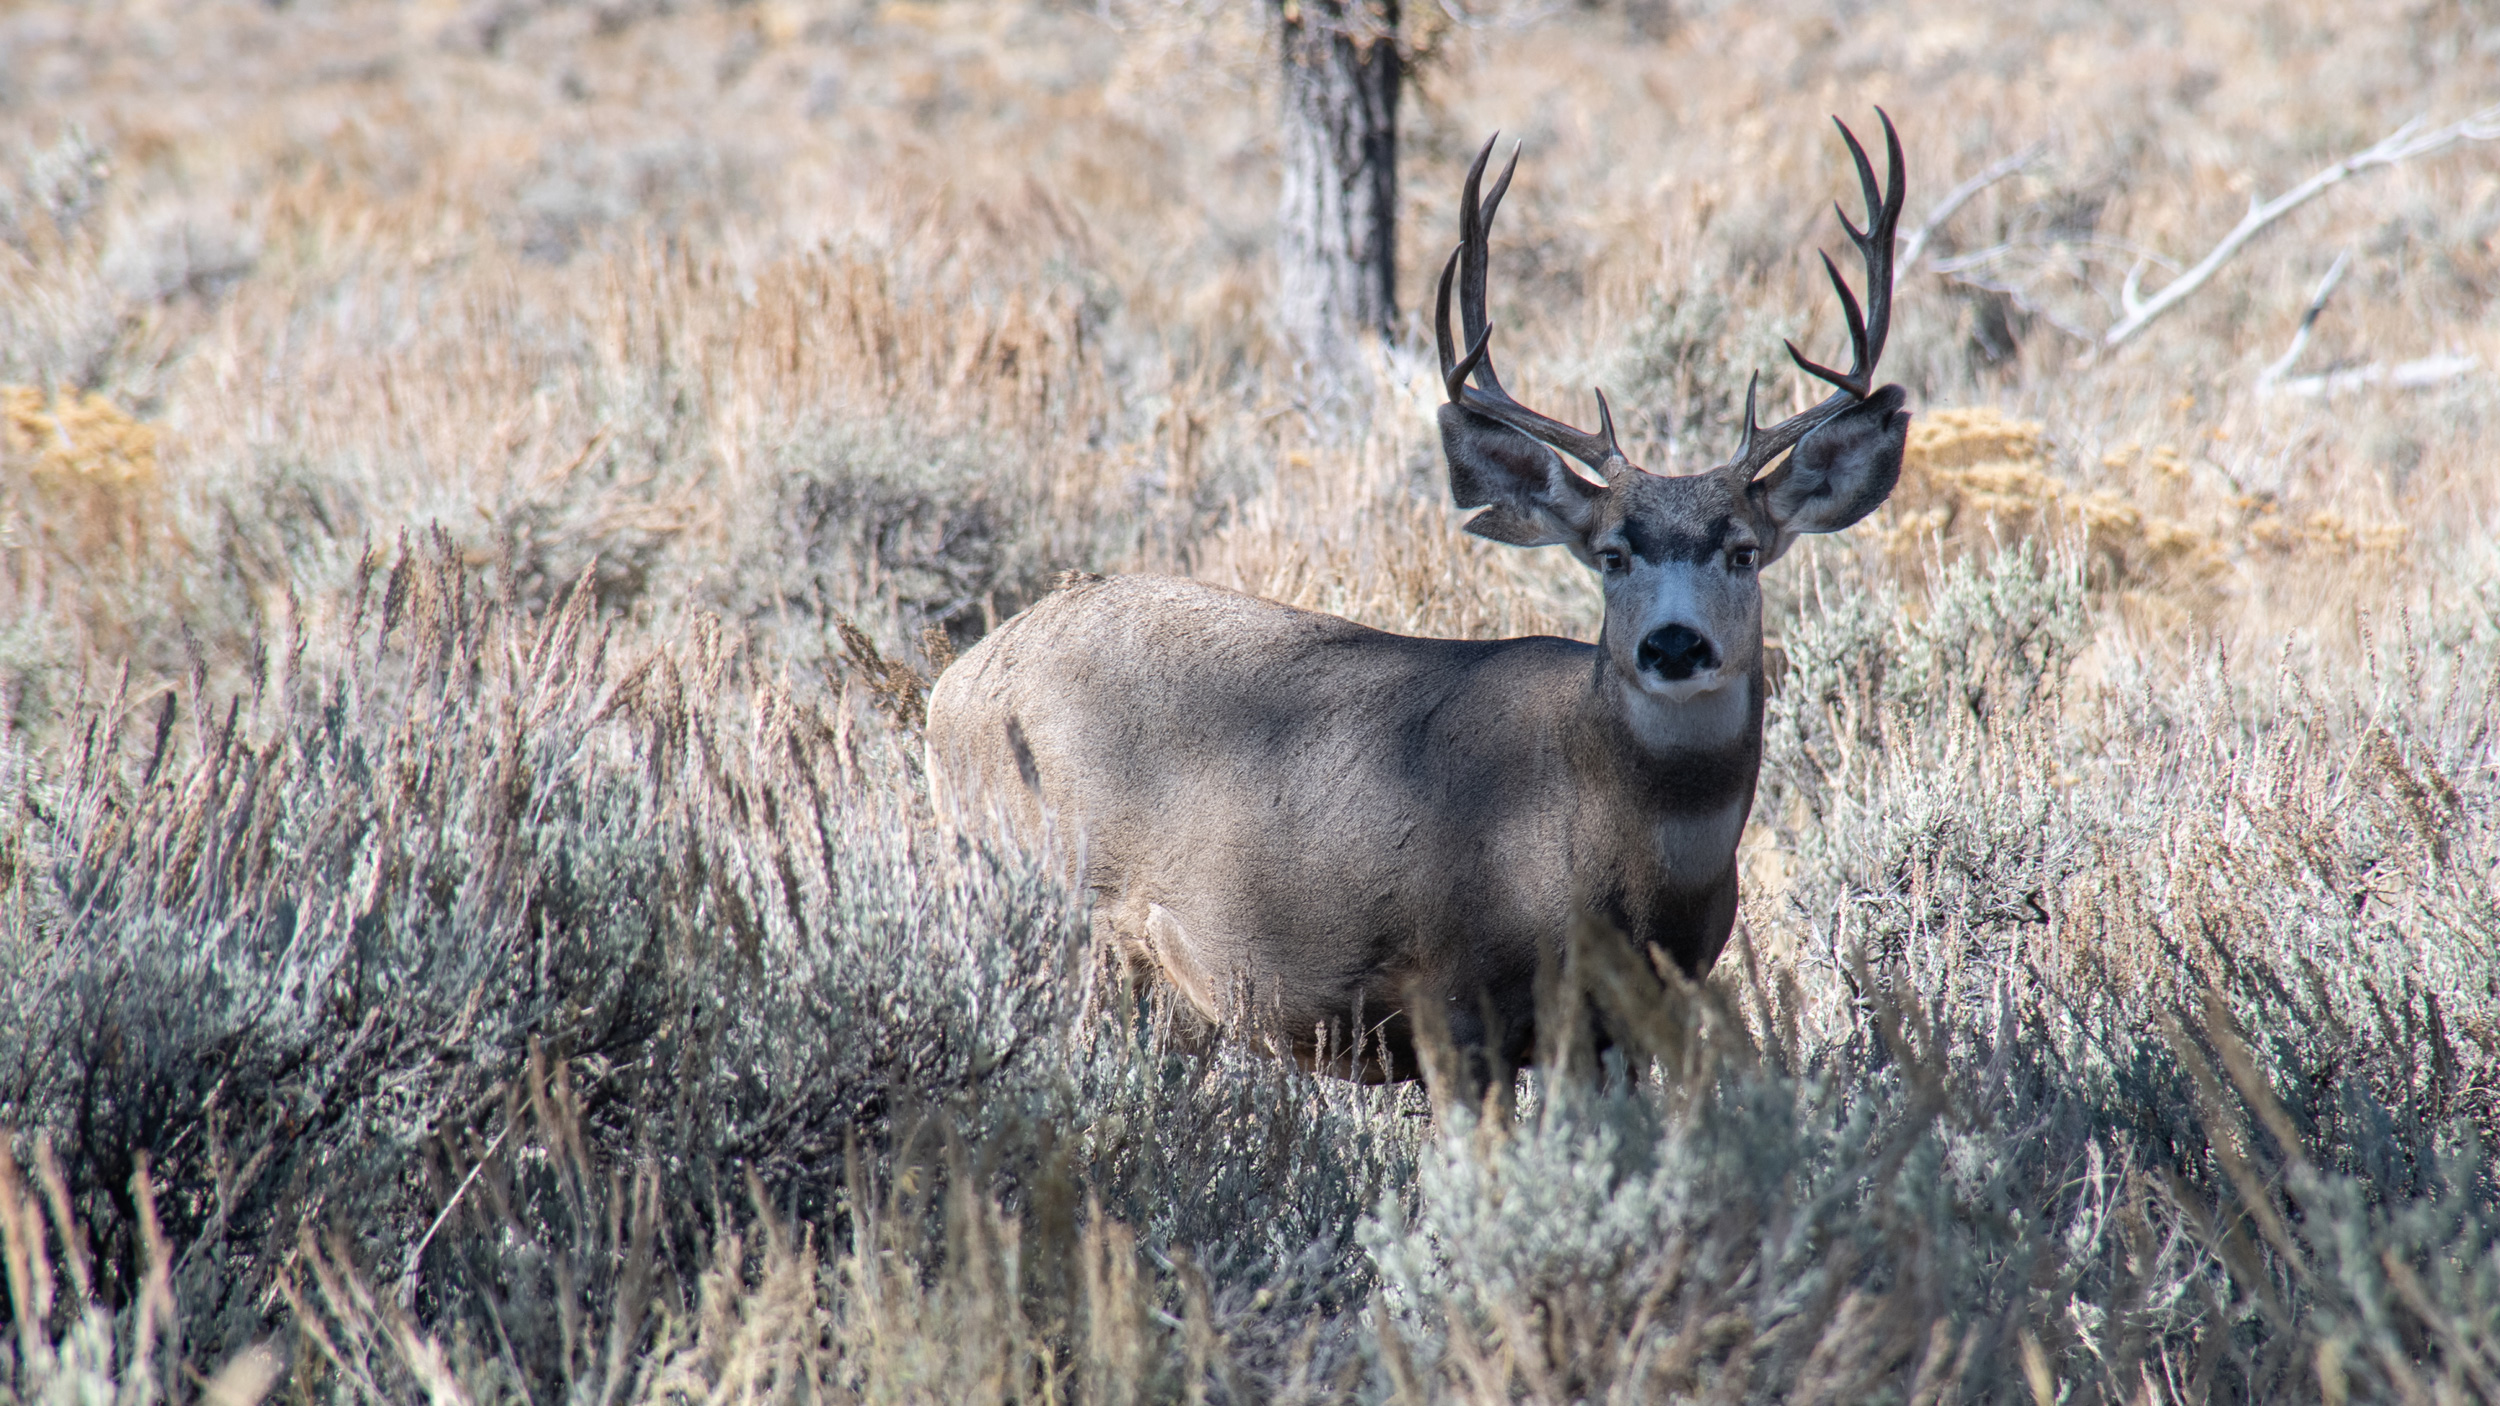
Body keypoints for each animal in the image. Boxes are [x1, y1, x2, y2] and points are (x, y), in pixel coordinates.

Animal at [926, 113, 1908, 1085]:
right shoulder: (1453, 992)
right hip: (1052, 897)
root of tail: (951, 683)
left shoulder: (1631, 1021)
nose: (1672, 646)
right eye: (1612, 555)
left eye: (1743, 552)